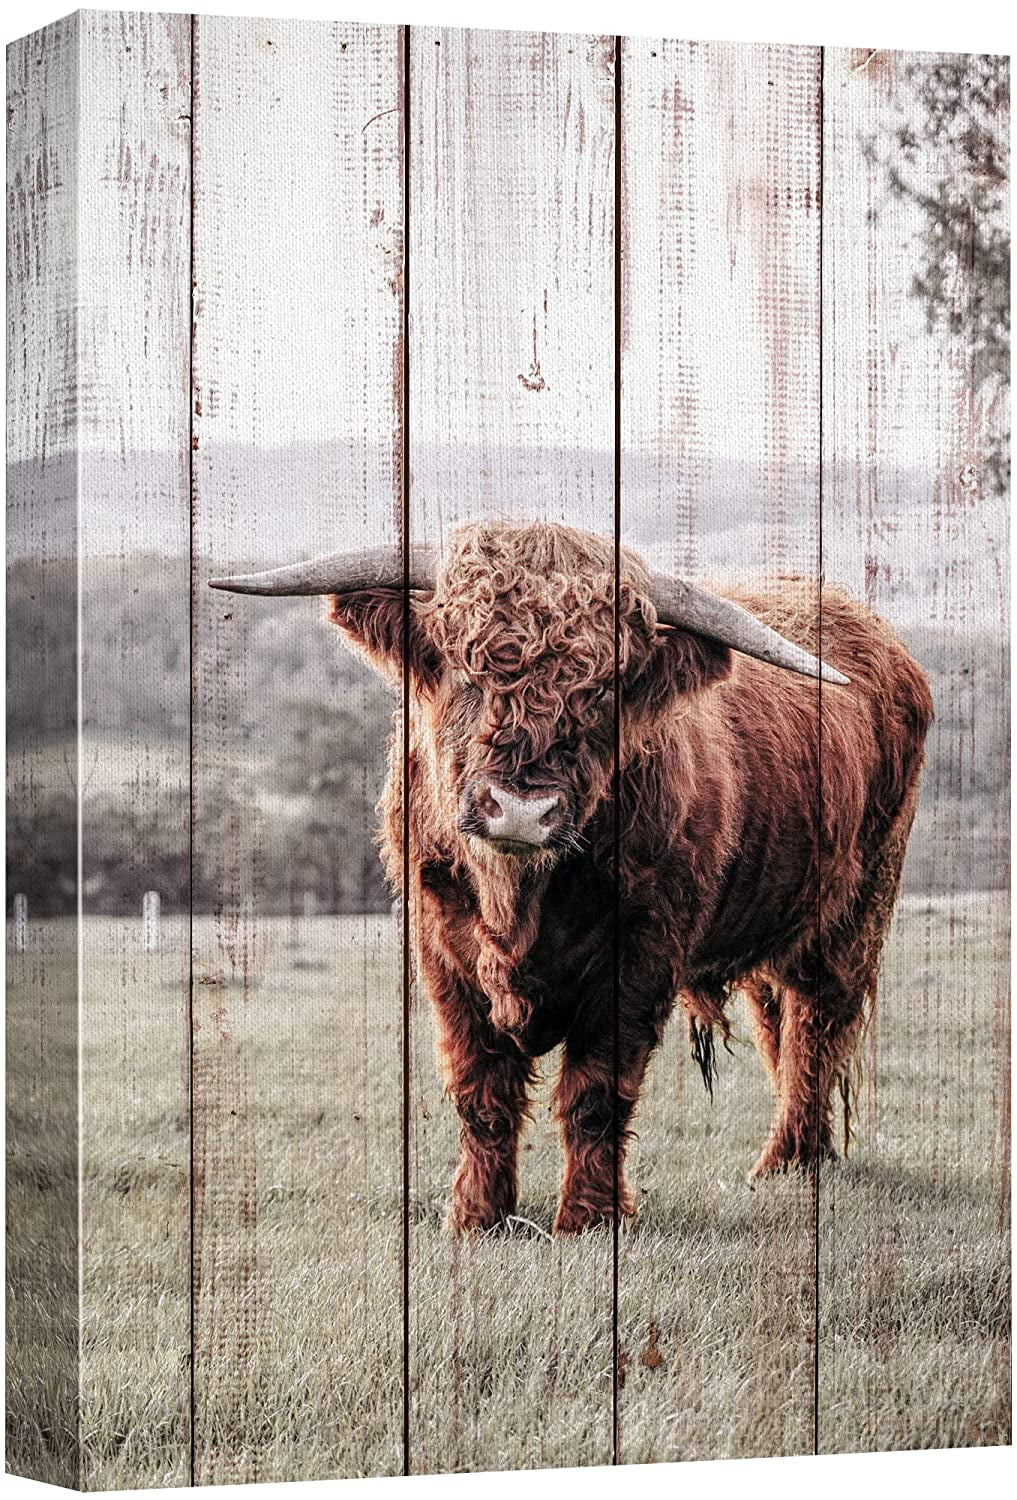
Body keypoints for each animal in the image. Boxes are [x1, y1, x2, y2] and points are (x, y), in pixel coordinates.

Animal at [211, 521, 931, 1235]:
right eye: (463, 668)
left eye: (604, 689)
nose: (520, 808)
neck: (517, 899)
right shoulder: (442, 954)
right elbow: (481, 1092)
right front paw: (476, 1215)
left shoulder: (638, 961)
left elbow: (596, 1096)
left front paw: (588, 1218)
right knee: (778, 1024)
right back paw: (803, 1156)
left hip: (855, 911)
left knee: (817, 1028)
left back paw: (787, 1162)